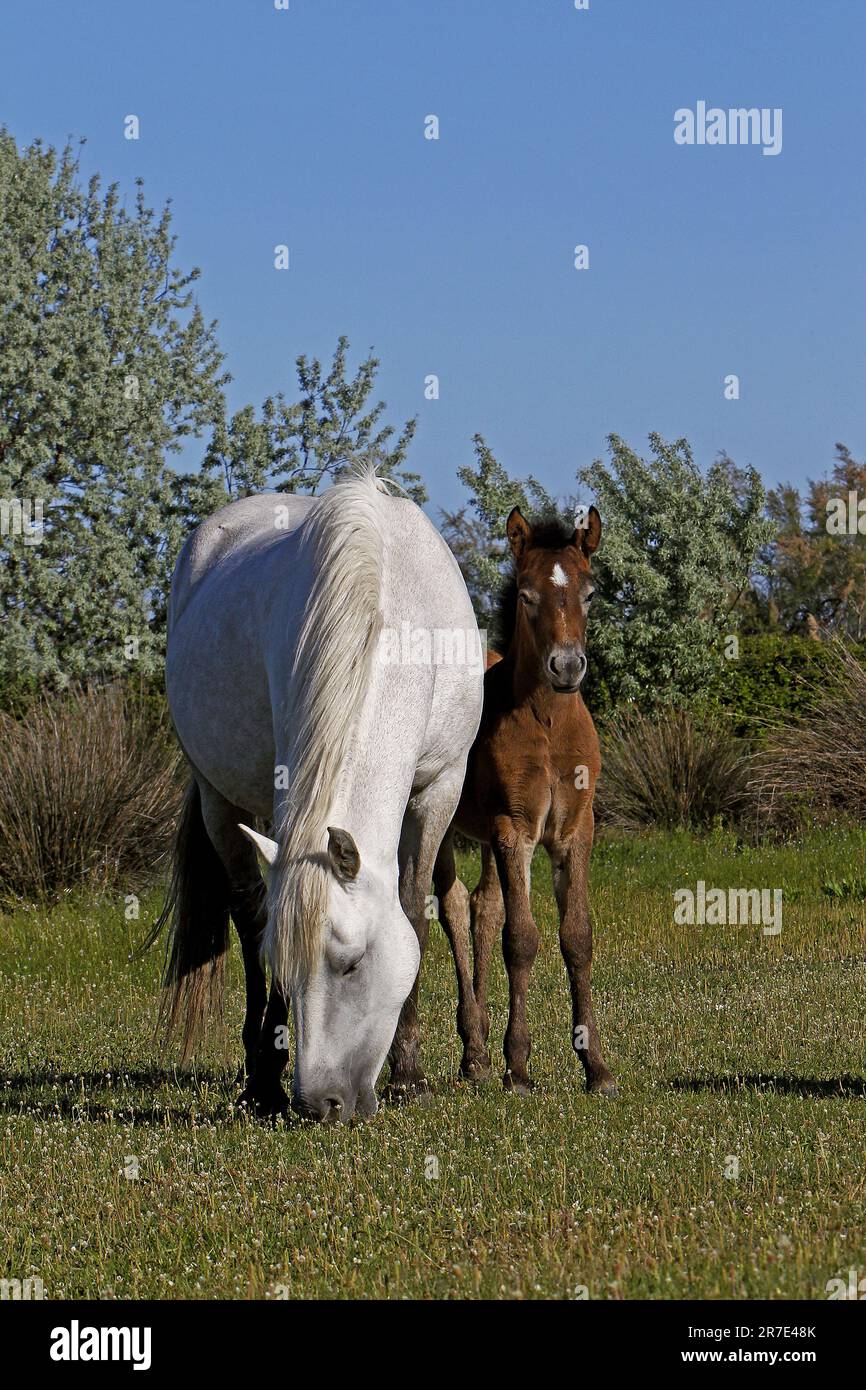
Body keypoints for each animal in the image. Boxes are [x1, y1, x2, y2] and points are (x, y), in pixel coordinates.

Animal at [150, 468, 483, 1122]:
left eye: (351, 965)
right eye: (284, 964)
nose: (320, 1103)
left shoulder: (439, 790)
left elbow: (415, 911)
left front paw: (409, 1073)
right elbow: (262, 927)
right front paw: (269, 1074)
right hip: (218, 801)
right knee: (247, 910)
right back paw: (260, 1076)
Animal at [435, 505, 616, 1096]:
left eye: (590, 592)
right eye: (525, 594)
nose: (567, 666)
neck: (549, 725)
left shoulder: (574, 830)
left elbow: (576, 936)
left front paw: (596, 1067)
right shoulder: (513, 827)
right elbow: (522, 939)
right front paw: (517, 1064)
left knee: (481, 907)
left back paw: (476, 1054)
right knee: (450, 907)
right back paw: (475, 1048)